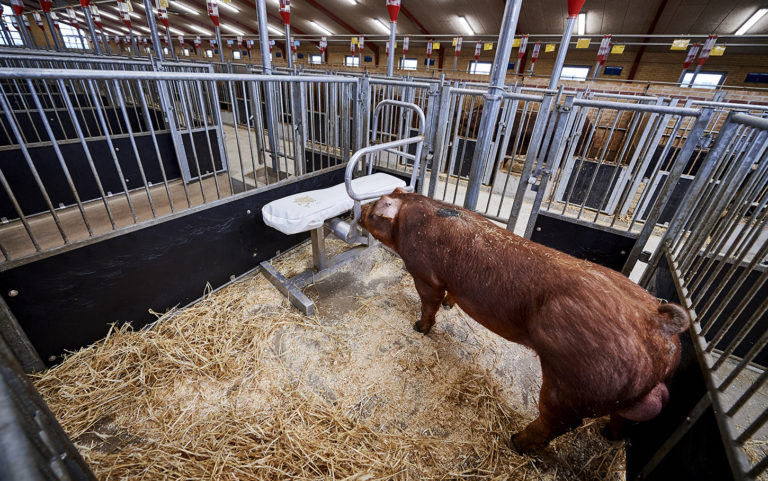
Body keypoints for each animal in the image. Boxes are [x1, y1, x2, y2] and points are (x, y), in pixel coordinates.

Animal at [359, 188, 689, 452]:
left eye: (374, 209)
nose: (359, 210)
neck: (411, 217)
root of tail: (657, 322)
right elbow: (449, 296)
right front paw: (451, 306)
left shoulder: (425, 273)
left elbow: (429, 303)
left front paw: (418, 328)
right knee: (628, 416)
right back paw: (607, 434)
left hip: (575, 382)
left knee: (557, 422)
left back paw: (516, 442)